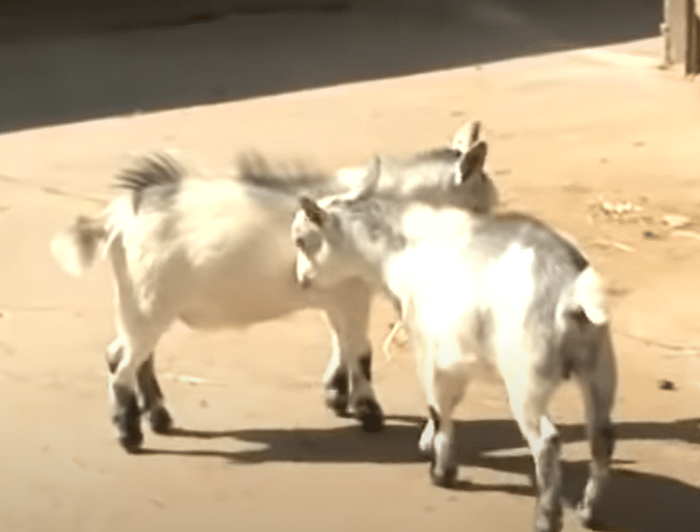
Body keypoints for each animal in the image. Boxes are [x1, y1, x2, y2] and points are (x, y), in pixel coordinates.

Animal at [49, 121, 499, 451]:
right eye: (481, 205)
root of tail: (116, 216)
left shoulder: (339, 296)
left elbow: (342, 345)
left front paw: (338, 397)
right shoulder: (352, 295)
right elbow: (360, 351)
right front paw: (369, 412)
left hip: (146, 308)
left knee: (134, 357)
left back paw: (159, 417)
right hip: (146, 307)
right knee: (121, 362)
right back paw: (129, 433)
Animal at [291, 146, 617, 532]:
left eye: (301, 240)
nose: (302, 280)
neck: (400, 247)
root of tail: (570, 289)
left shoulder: (428, 348)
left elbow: (438, 407)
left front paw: (442, 469)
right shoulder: (455, 355)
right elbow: (447, 404)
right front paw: (432, 449)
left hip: (527, 376)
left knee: (547, 441)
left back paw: (547, 517)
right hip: (599, 369)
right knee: (602, 436)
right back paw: (589, 509)